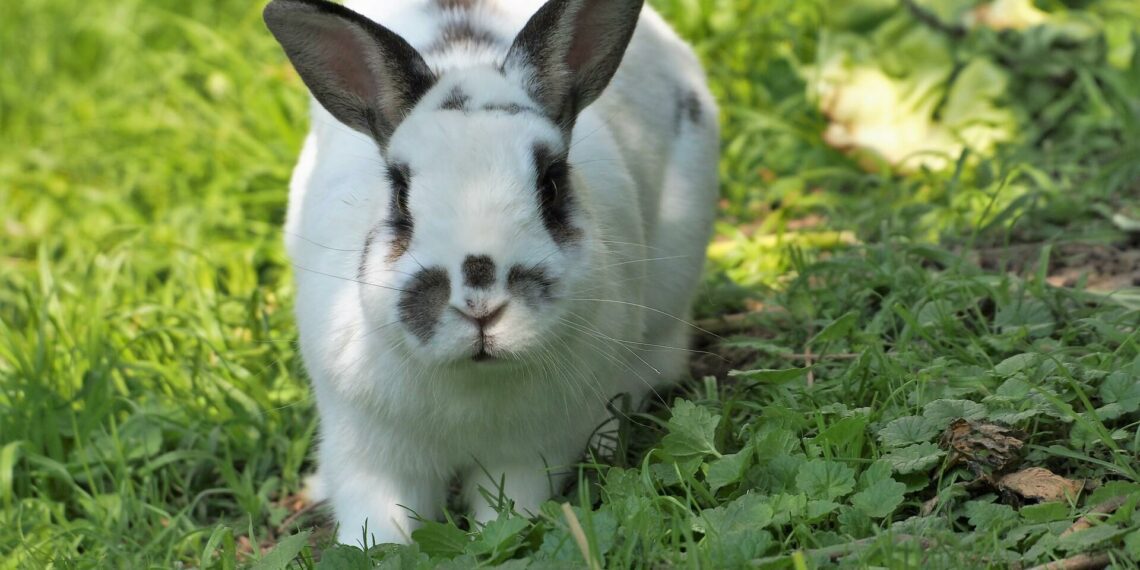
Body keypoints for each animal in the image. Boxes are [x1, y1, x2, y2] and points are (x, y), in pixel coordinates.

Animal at [264, 0, 718, 545]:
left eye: (550, 184)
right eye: (400, 194)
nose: (479, 304)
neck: (472, 381)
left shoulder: (529, 453)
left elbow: (509, 507)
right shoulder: (368, 451)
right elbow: (375, 524)